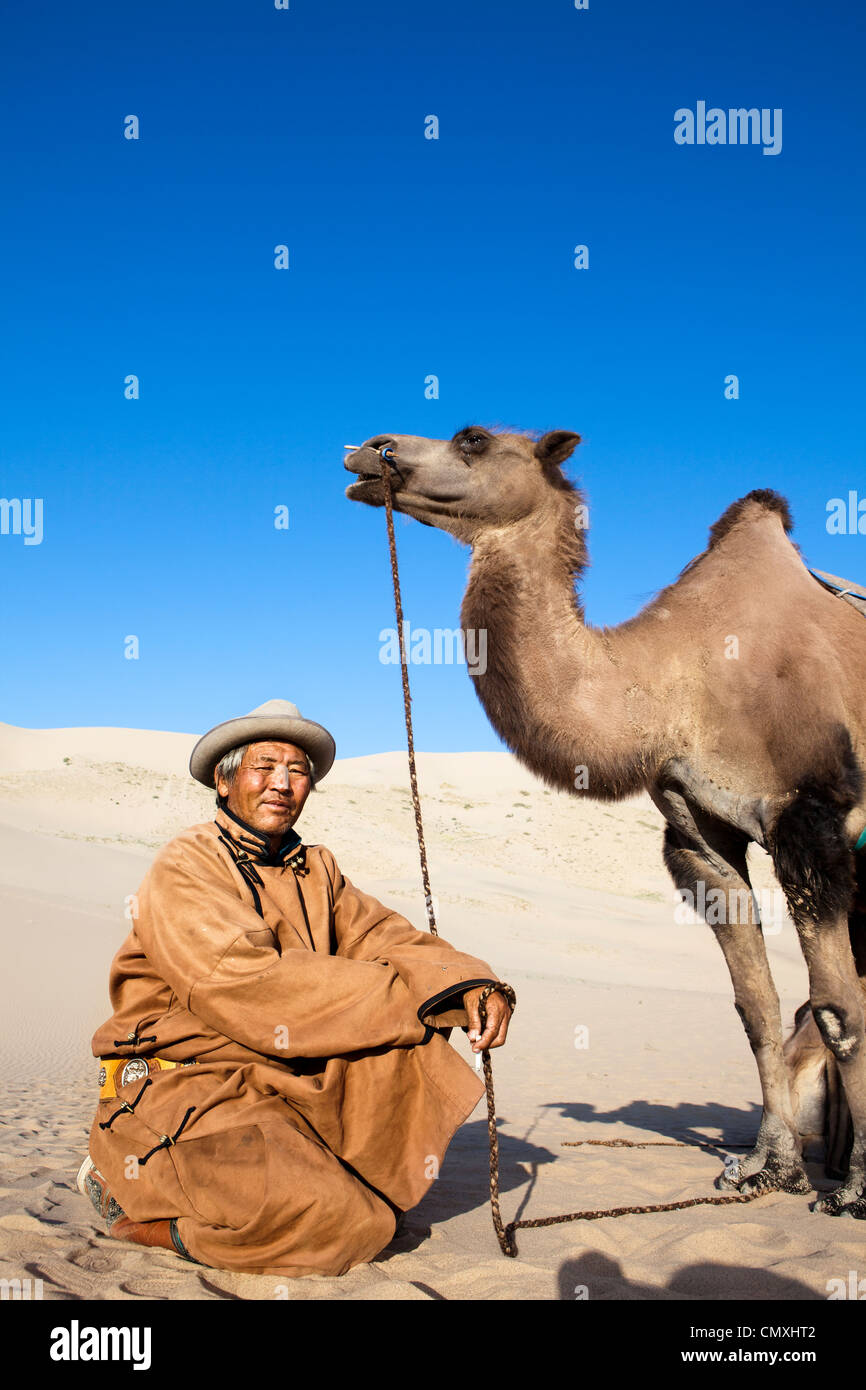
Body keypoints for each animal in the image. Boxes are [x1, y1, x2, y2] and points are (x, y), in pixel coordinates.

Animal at [345, 424, 866, 1217]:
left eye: (473, 438)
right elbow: (757, 1008)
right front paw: (767, 1168)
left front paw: (856, 1190)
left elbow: (841, 1012)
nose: (370, 450)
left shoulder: (811, 819)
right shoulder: (699, 837)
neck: (680, 680)